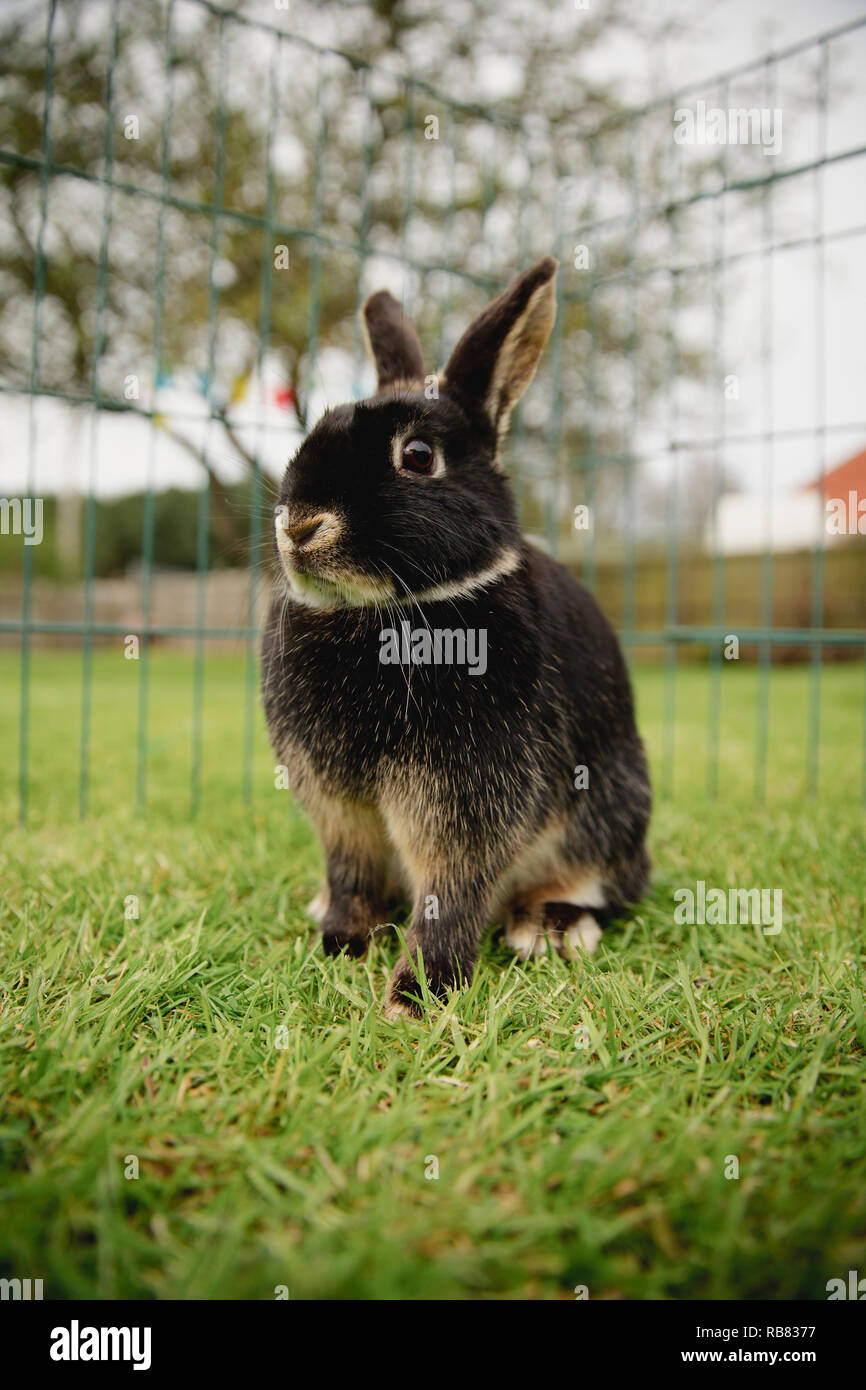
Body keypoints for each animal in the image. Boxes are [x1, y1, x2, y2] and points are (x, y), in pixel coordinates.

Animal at [261, 257, 651, 1018]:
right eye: (313, 428)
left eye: (417, 455)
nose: (300, 522)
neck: (391, 615)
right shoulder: (338, 807)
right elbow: (350, 870)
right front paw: (340, 940)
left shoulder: (468, 794)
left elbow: (452, 891)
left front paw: (418, 994)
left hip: (613, 807)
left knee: (605, 886)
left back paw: (549, 927)